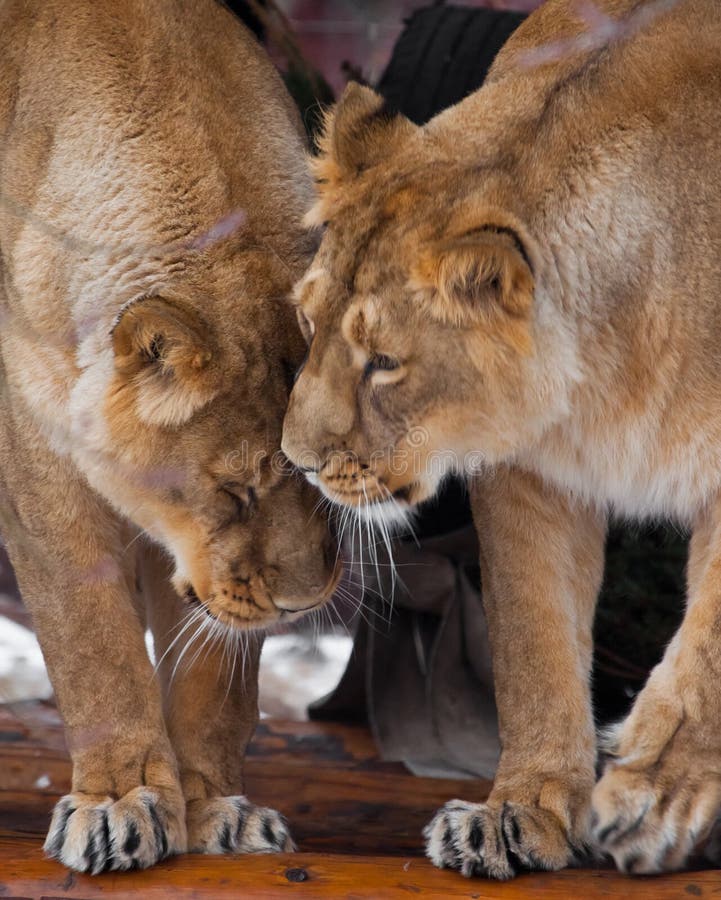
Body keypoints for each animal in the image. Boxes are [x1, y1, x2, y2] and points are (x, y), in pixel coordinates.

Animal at [0, 0, 337, 874]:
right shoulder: (40, 474)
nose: (304, 604)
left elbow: (215, 675)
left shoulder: (210, 568)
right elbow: (97, 644)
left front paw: (214, 806)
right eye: (235, 489)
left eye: (328, 480)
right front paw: (118, 803)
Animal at [281, 0, 721, 878]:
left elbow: (707, 657)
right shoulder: (530, 478)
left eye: (384, 362)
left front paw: (655, 797)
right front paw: (523, 811)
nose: (296, 463)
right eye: (308, 324)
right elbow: (531, 643)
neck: (605, 369)